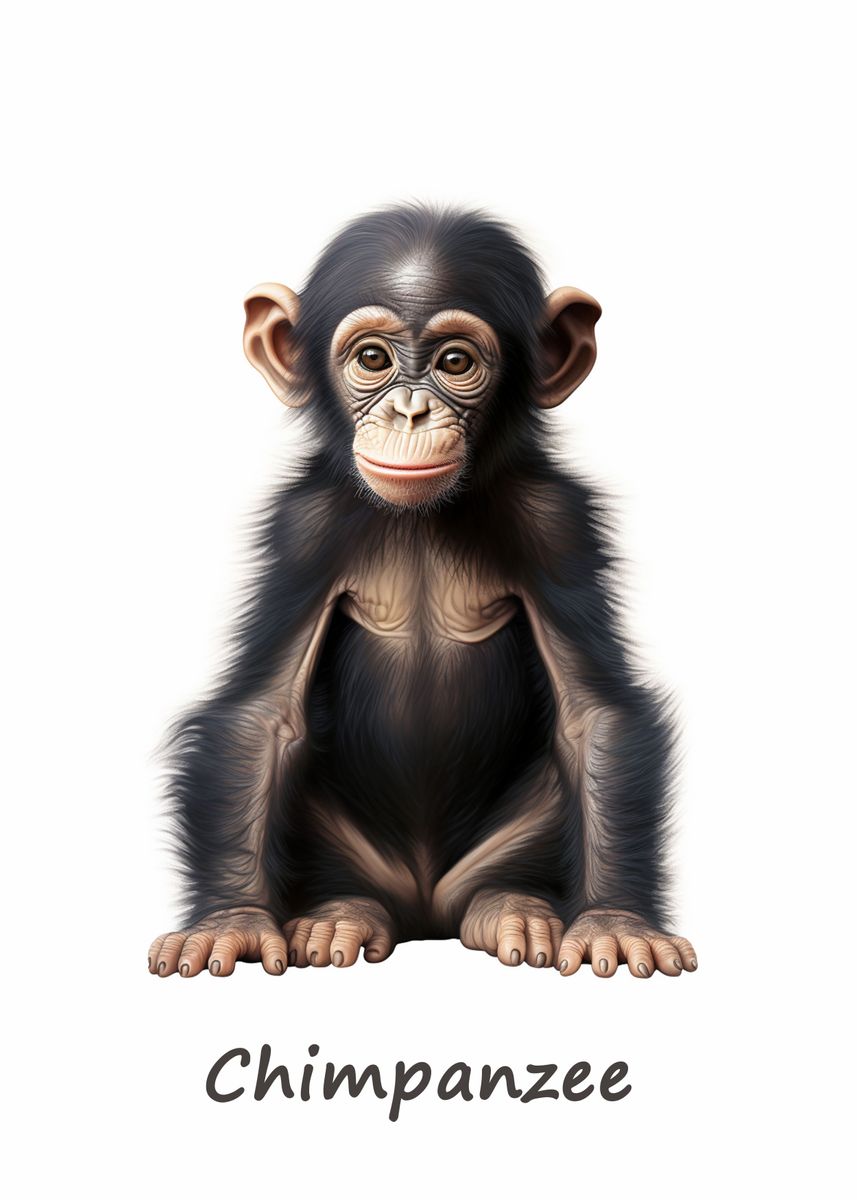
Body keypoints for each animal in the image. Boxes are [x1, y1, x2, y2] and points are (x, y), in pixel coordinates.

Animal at [148, 203, 697, 980]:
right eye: (373, 360)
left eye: (455, 363)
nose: (409, 412)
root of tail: (424, 913)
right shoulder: (303, 530)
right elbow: (260, 714)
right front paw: (230, 922)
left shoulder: (558, 522)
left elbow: (593, 714)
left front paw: (616, 923)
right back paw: (339, 915)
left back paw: (513, 907)